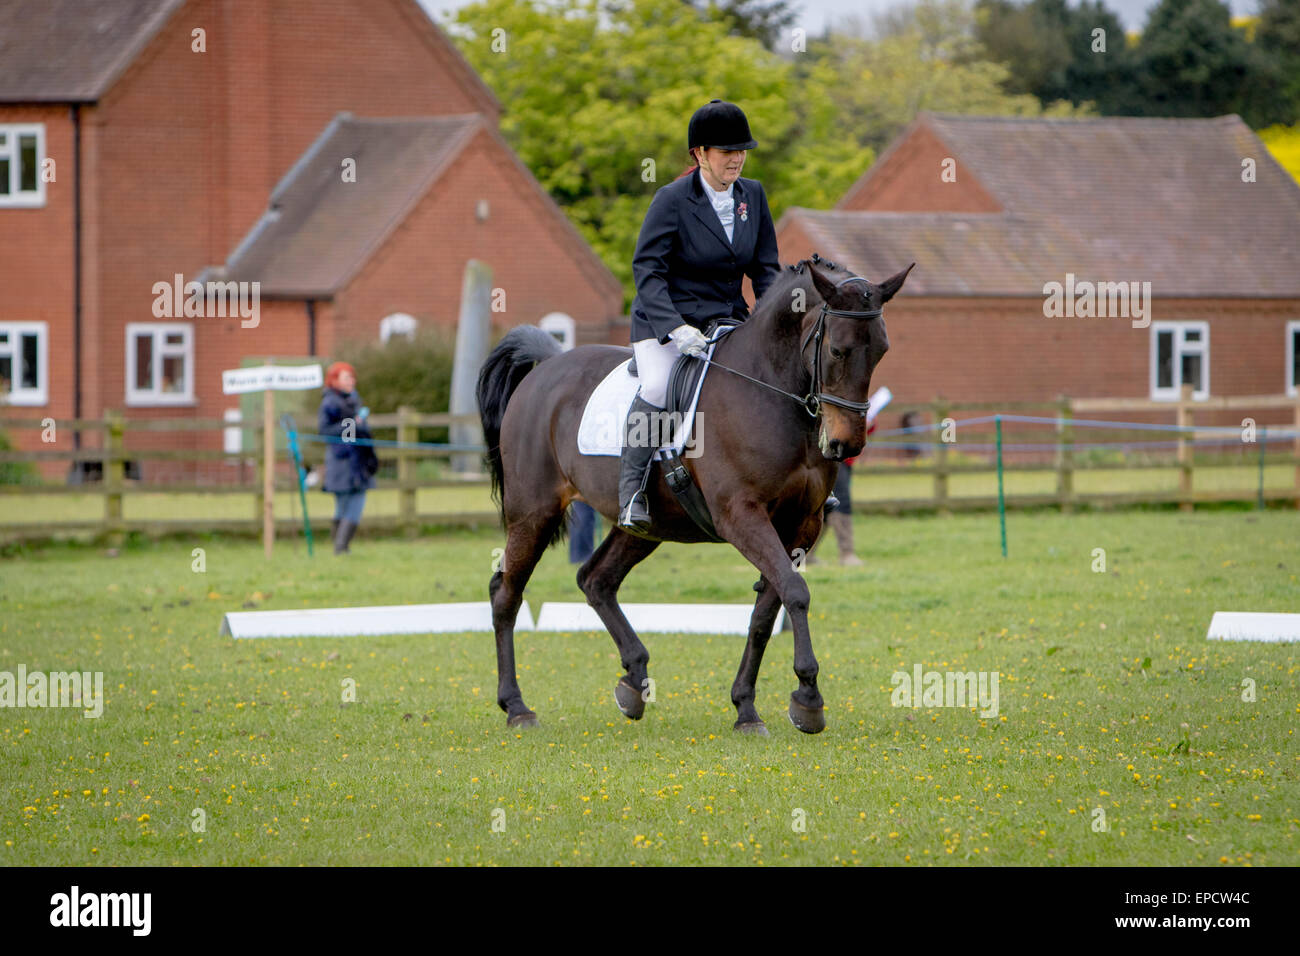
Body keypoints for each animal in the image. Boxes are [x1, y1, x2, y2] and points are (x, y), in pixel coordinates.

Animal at [475, 255, 913, 735]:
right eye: (837, 351)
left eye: (882, 350)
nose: (846, 444)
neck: (770, 388)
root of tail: (547, 367)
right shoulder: (740, 513)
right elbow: (795, 592)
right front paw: (808, 697)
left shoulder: (803, 523)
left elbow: (768, 609)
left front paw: (746, 708)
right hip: (533, 514)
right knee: (506, 594)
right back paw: (517, 706)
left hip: (646, 526)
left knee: (595, 580)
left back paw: (634, 682)